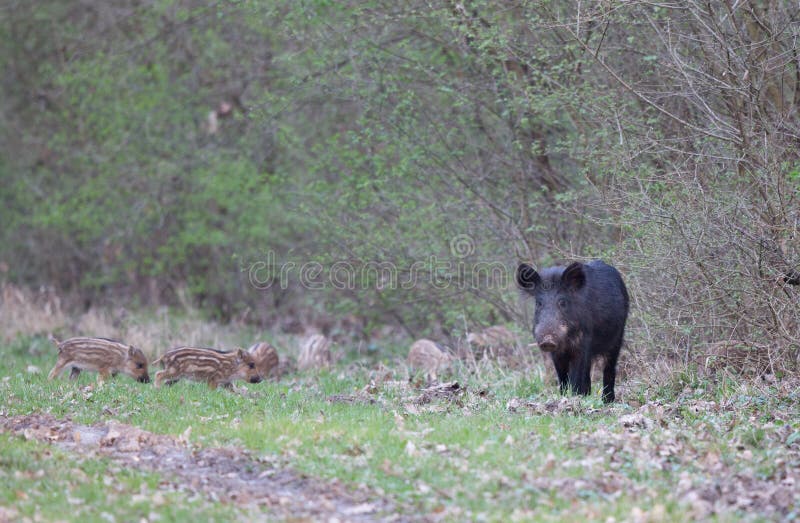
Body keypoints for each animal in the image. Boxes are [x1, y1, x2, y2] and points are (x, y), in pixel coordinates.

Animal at [517, 260, 629, 402]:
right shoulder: (557, 353)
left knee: (609, 368)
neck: (566, 341)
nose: (547, 340)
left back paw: (607, 401)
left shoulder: (583, 344)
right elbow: (563, 378)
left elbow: (576, 376)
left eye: (562, 302)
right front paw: (565, 397)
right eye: (538, 303)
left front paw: (575, 398)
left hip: (617, 338)